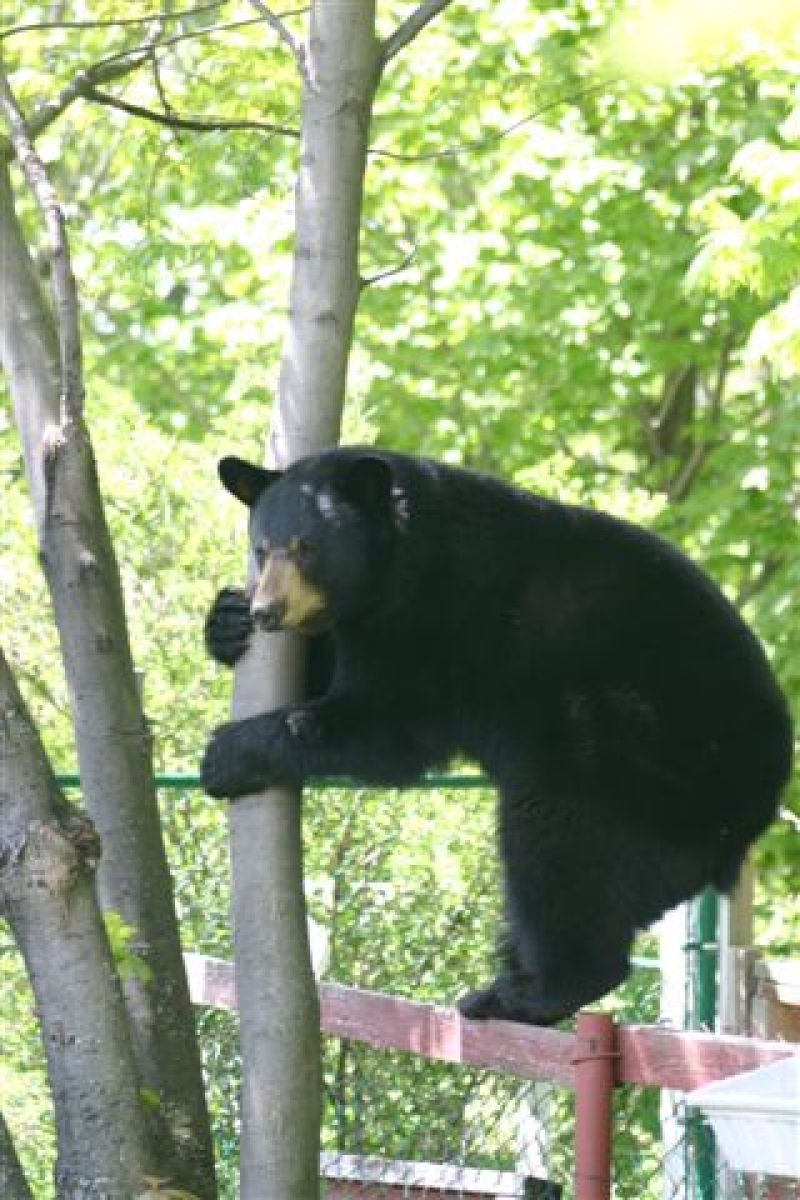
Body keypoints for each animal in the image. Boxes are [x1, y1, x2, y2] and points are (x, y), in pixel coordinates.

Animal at [202, 447, 793, 1025]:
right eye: (262, 548)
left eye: (307, 548)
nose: (267, 610)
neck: (401, 559)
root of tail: (752, 813)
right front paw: (225, 620)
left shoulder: (431, 617)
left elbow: (387, 725)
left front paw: (227, 753)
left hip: (637, 756)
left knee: (558, 845)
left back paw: (523, 995)